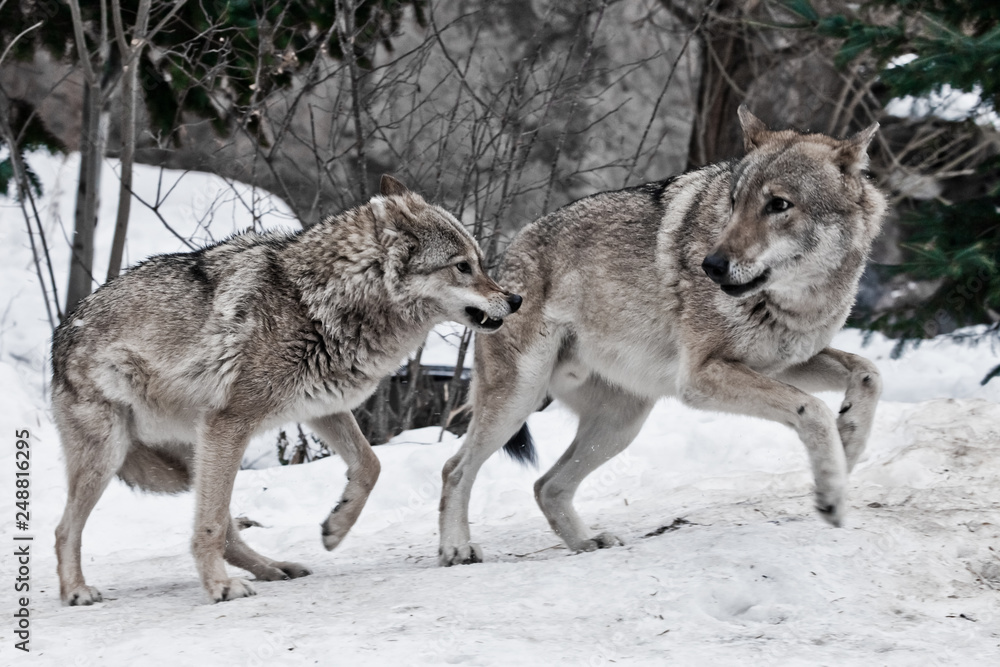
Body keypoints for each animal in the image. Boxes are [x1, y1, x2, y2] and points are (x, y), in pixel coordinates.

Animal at [52, 175, 521, 604]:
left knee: (226, 529)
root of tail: (61, 334)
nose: (515, 300)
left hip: (194, 453)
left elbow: (370, 465)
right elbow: (208, 524)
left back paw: (273, 568)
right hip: (116, 455)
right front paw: (218, 587)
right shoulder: (230, 422)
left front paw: (336, 527)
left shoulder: (321, 407)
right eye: (463, 266)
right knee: (64, 529)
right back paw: (77, 591)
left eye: (481, 262)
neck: (317, 301)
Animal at [438, 107, 887, 566]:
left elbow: (868, 371)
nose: (712, 265)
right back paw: (457, 548)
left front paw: (848, 446)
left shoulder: (781, 363)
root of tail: (502, 260)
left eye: (778, 205)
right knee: (455, 469)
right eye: (734, 202)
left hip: (621, 425)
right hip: (521, 399)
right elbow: (812, 408)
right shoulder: (701, 377)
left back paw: (586, 543)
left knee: (547, 486)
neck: (795, 301)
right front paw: (831, 492)